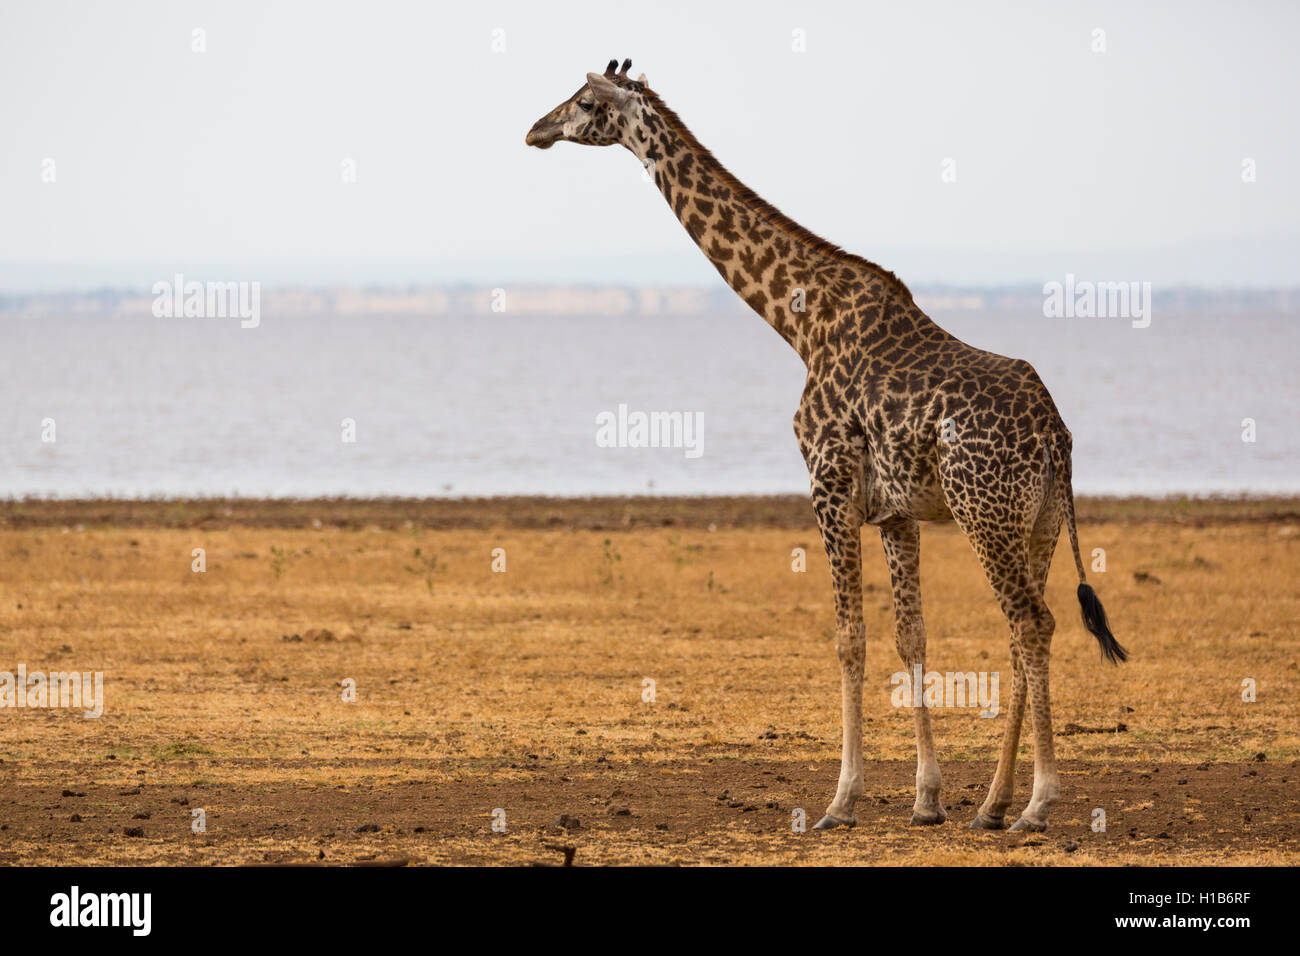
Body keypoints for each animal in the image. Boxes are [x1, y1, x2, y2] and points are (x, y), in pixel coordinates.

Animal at [527, 60, 1127, 832]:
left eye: (585, 102)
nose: (536, 129)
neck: (798, 320)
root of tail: (1055, 432)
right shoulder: (897, 513)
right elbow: (911, 636)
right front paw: (927, 799)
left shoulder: (829, 486)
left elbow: (849, 640)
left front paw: (841, 801)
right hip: (1040, 521)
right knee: (1026, 631)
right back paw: (991, 805)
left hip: (985, 512)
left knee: (1031, 623)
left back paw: (1037, 804)